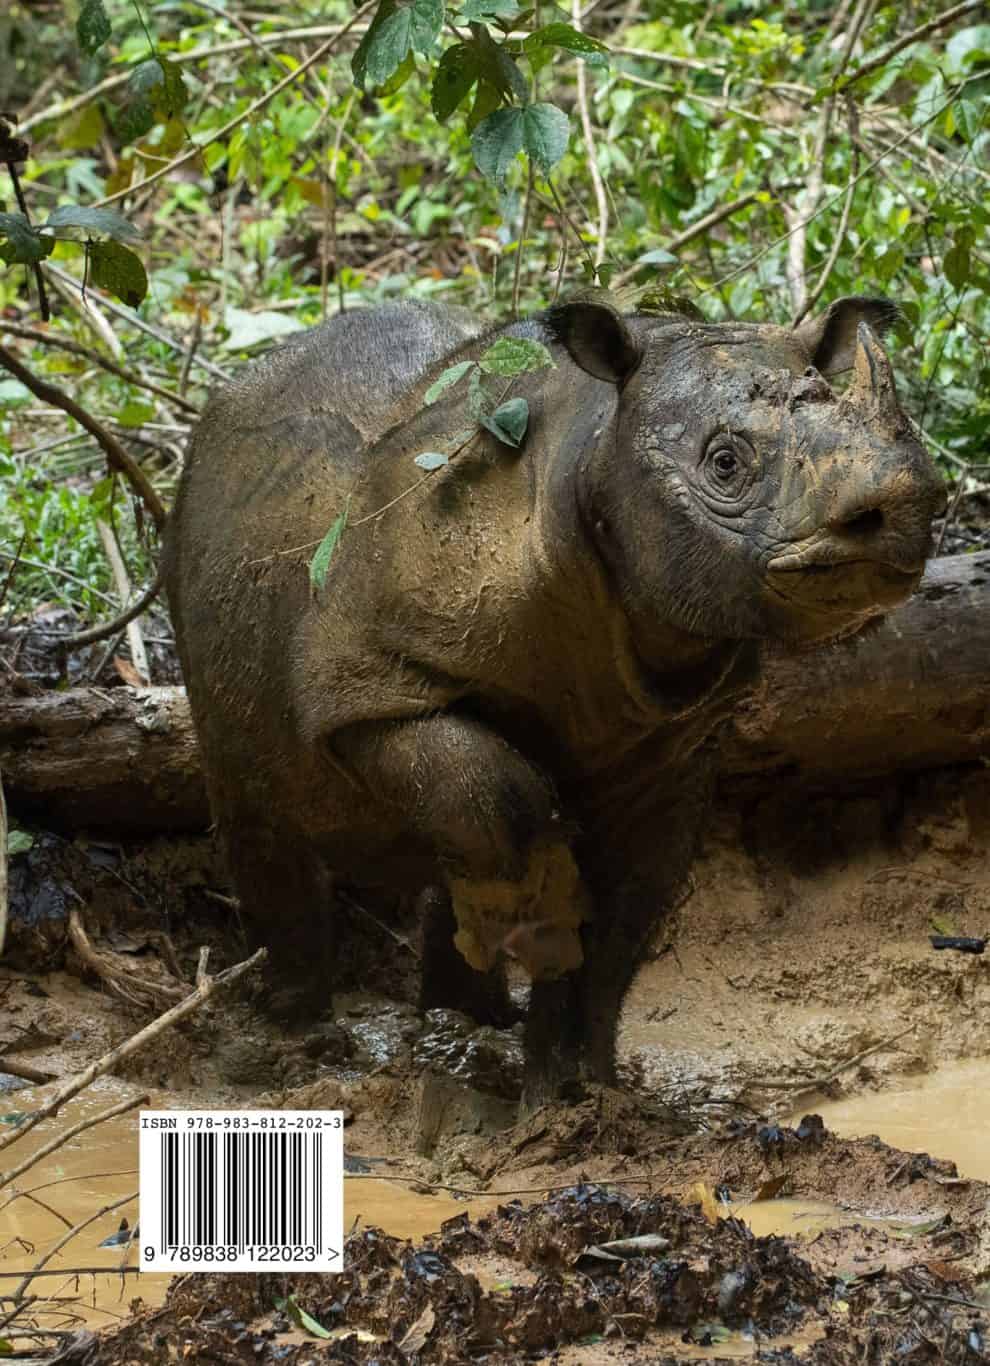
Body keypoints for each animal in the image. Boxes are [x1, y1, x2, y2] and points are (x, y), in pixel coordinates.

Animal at [166, 294, 944, 1110]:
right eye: (725, 463)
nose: (900, 514)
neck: (597, 450)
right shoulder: (364, 679)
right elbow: (497, 794)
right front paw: (542, 935)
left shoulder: (677, 735)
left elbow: (627, 910)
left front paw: (583, 1092)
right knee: (262, 811)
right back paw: (298, 1042)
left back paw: (463, 1021)